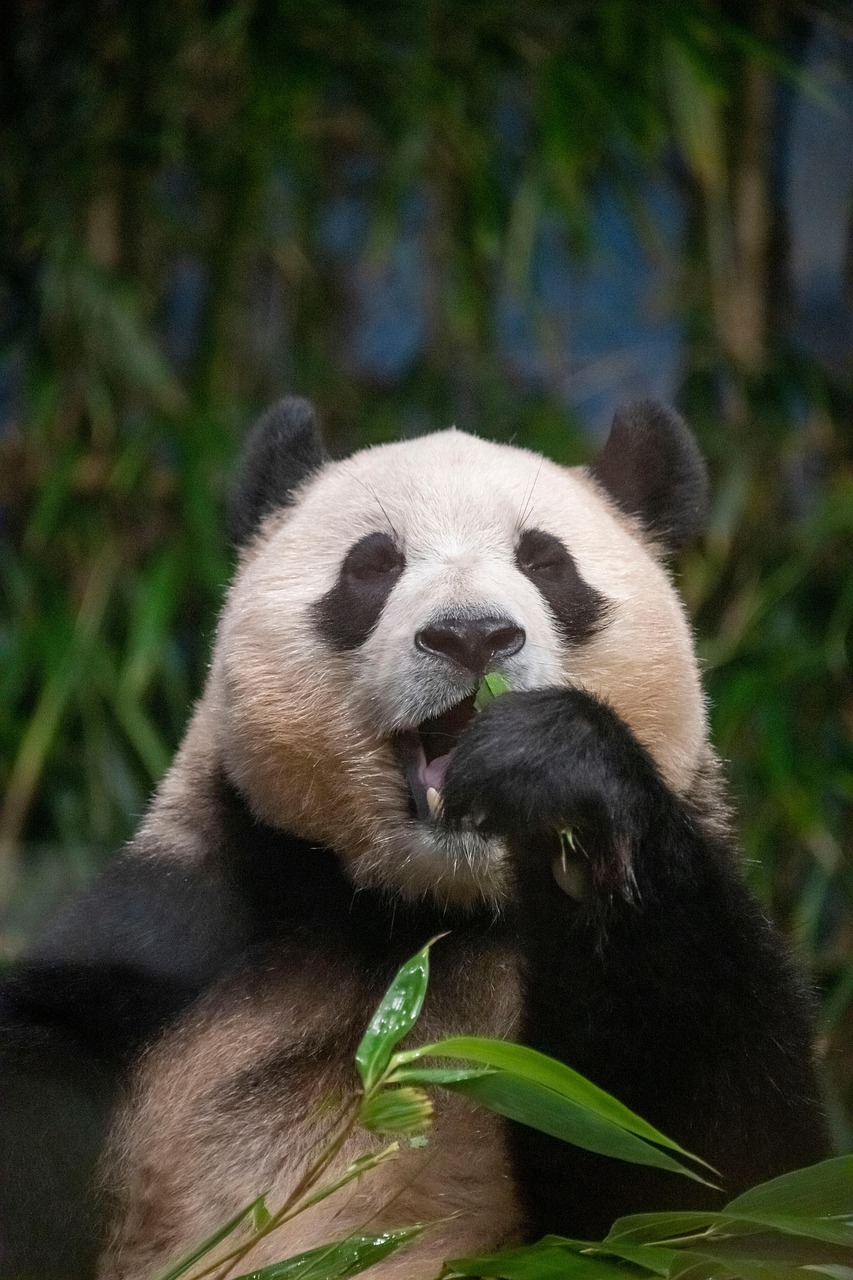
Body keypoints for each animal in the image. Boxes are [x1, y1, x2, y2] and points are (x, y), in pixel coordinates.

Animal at [0, 397, 829, 1280]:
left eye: (545, 562)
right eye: (373, 565)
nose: (471, 637)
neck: (427, 913)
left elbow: (715, 1185)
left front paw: (560, 783)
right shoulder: (182, 928)